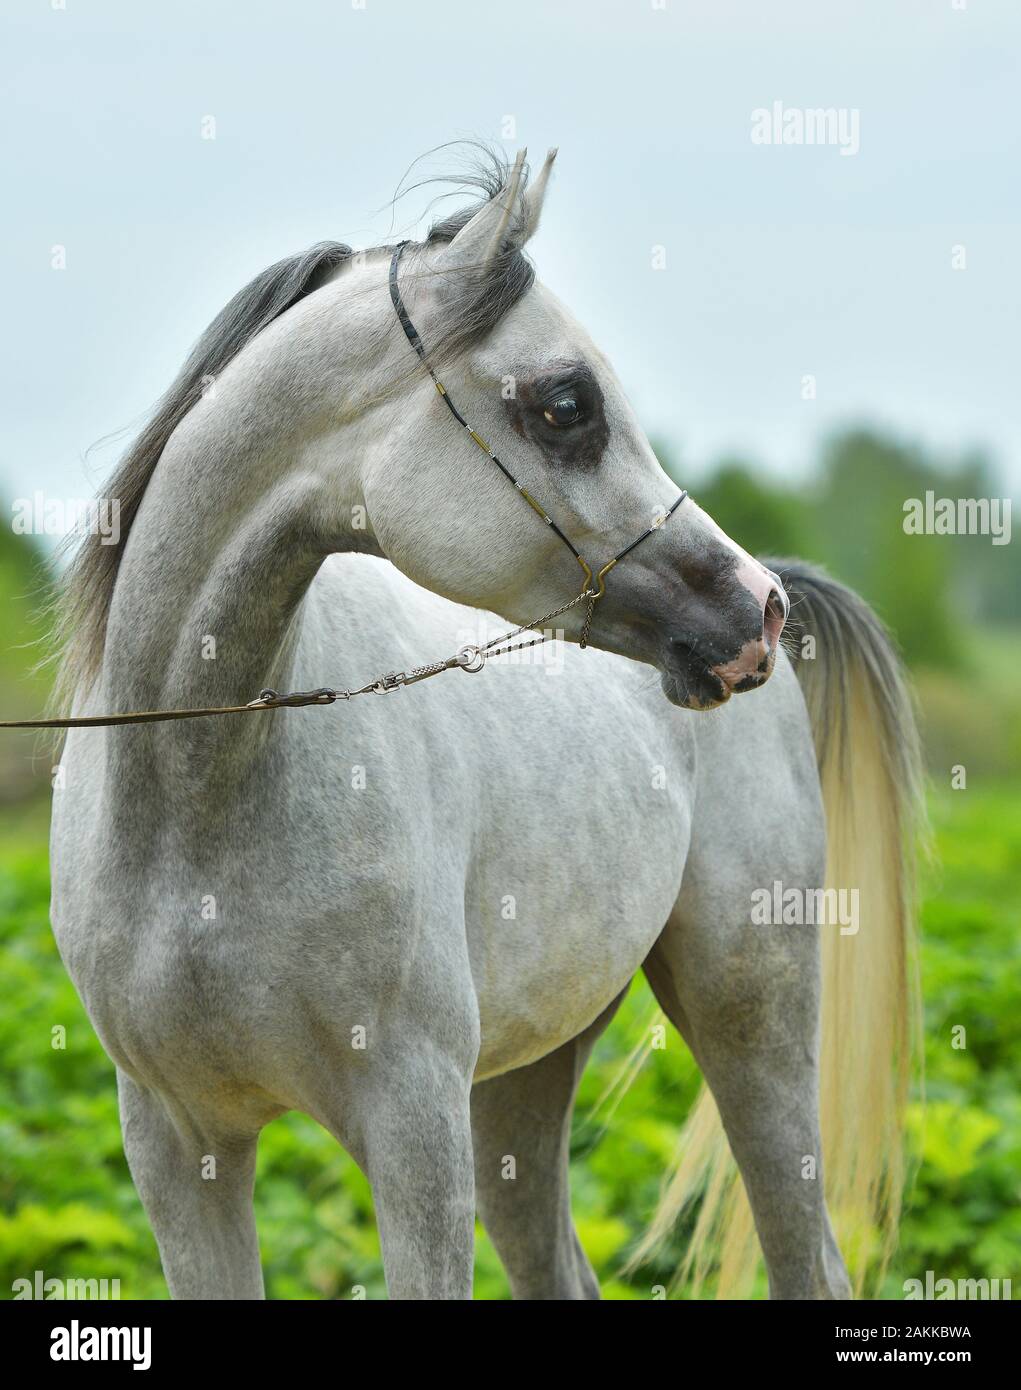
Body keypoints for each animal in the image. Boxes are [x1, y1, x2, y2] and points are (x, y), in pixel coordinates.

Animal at [48, 147, 922, 1300]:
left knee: (804, 1249)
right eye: (566, 402)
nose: (755, 611)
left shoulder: (413, 1131)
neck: (194, 802)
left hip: (752, 1021)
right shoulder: (177, 1145)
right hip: (523, 1081)